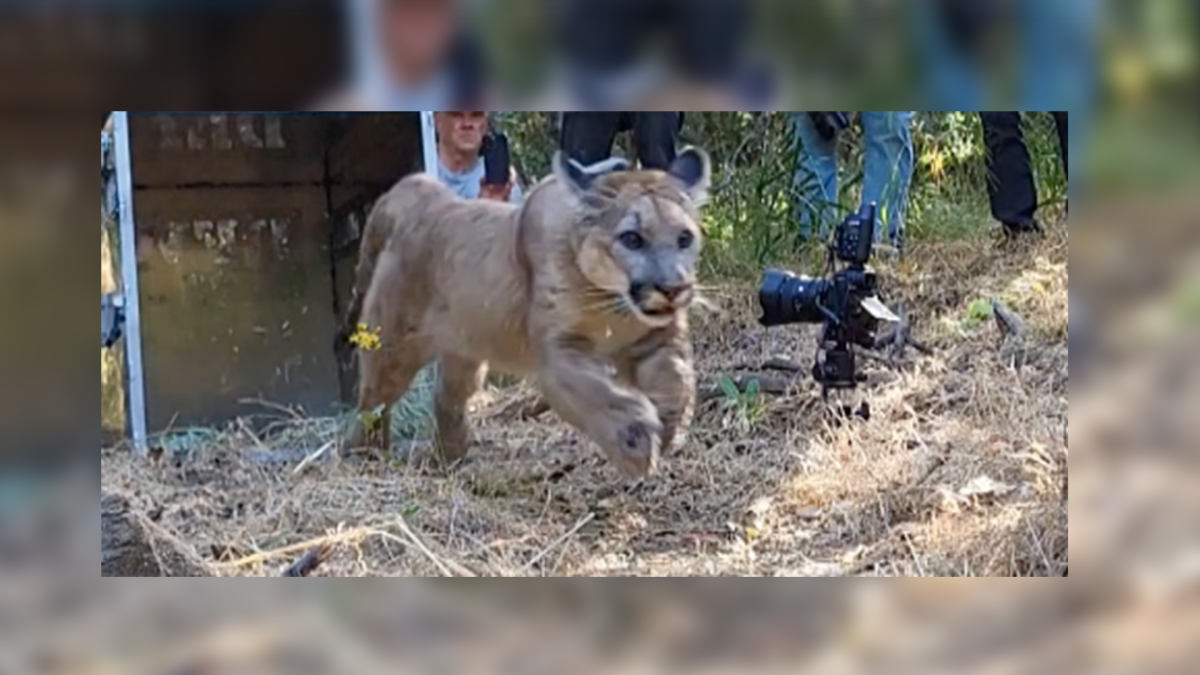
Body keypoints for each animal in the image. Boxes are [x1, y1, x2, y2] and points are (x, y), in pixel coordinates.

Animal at [341, 146, 712, 478]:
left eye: (684, 238)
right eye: (632, 239)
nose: (673, 288)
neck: (612, 304)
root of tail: (425, 200)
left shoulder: (658, 338)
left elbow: (676, 379)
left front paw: (668, 429)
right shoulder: (558, 352)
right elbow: (599, 394)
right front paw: (635, 443)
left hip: (465, 350)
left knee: (447, 395)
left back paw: (451, 455)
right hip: (392, 345)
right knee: (372, 400)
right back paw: (361, 454)